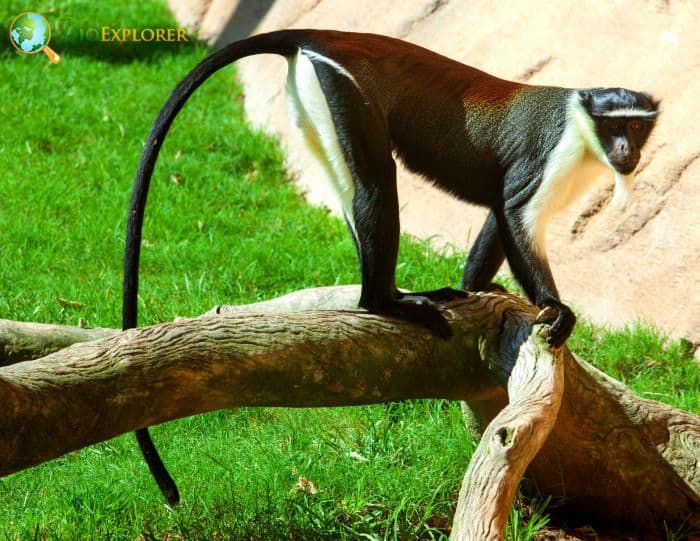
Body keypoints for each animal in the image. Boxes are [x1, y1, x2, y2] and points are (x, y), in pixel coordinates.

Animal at [122, 30, 659, 504]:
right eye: (615, 126)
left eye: (636, 127)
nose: (626, 152)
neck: (582, 127)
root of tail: (322, 34)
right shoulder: (550, 156)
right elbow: (513, 210)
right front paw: (554, 308)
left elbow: (496, 214)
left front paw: (478, 287)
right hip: (345, 91)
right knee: (378, 180)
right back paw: (384, 301)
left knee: (353, 190)